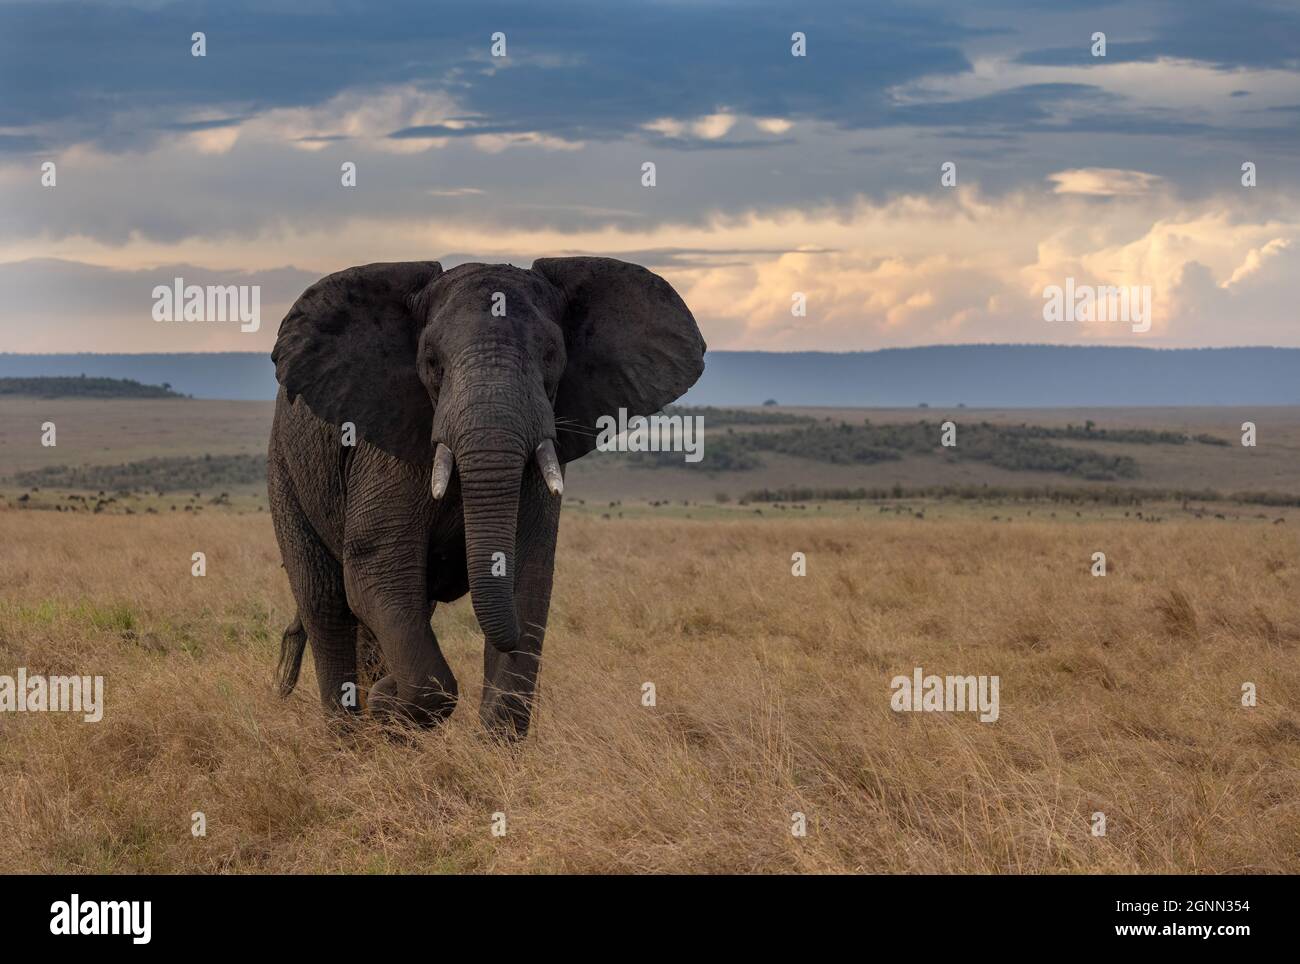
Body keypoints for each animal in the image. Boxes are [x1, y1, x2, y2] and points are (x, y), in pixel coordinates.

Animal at [267, 257, 706, 737]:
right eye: (431, 361)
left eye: (551, 356)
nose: (386, 692)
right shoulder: (386, 447)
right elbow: (376, 570)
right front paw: (389, 704)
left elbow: (529, 575)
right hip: (285, 468)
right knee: (326, 604)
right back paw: (350, 739)